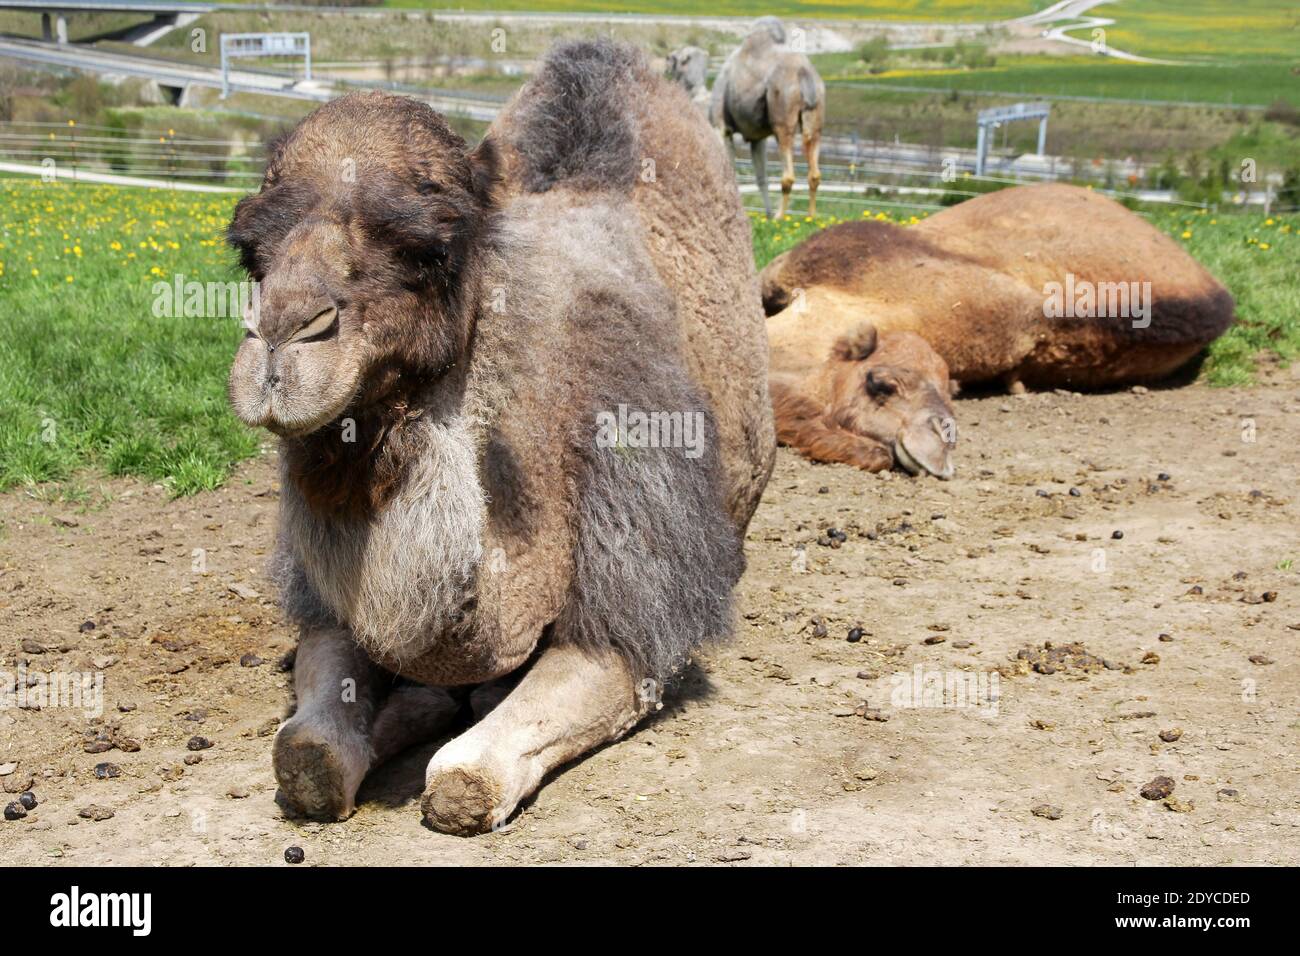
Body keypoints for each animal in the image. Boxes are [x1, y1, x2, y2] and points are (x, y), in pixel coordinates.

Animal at [225, 39, 775, 836]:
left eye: (429, 252)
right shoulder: (330, 614)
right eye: (249, 252)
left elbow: (466, 778)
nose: (279, 341)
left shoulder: (637, 571)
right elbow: (309, 755)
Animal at [710, 16, 825, 219]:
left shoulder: (722, 128)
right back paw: (809, 216)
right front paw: (767, 215)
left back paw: (780, 217)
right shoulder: (757, 137)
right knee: (814, 171)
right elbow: (761, 177)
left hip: (783, 118)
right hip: (815, 115)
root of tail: (805, 73)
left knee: (788, 174)